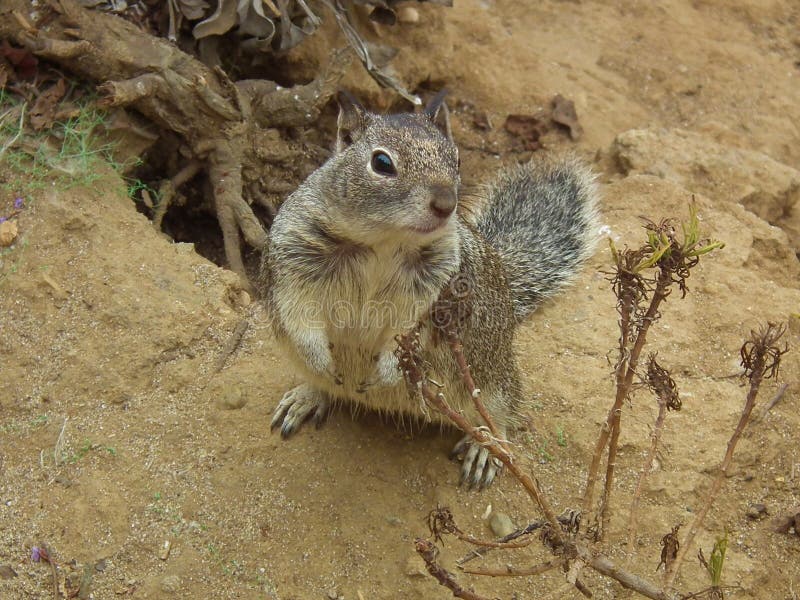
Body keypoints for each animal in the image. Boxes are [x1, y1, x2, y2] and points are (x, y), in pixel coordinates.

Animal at [259, 91, 599, 489]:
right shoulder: (293, 258)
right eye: (381, 162)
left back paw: (485, 447)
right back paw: (310, 393)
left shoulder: (439, 289)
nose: (446, 204)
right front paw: (318, 358)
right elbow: (298, 314)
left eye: (457, 159)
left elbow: (413, 332)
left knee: (504, 414)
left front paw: (388, 370)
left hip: (491, 379)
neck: (385, 241)